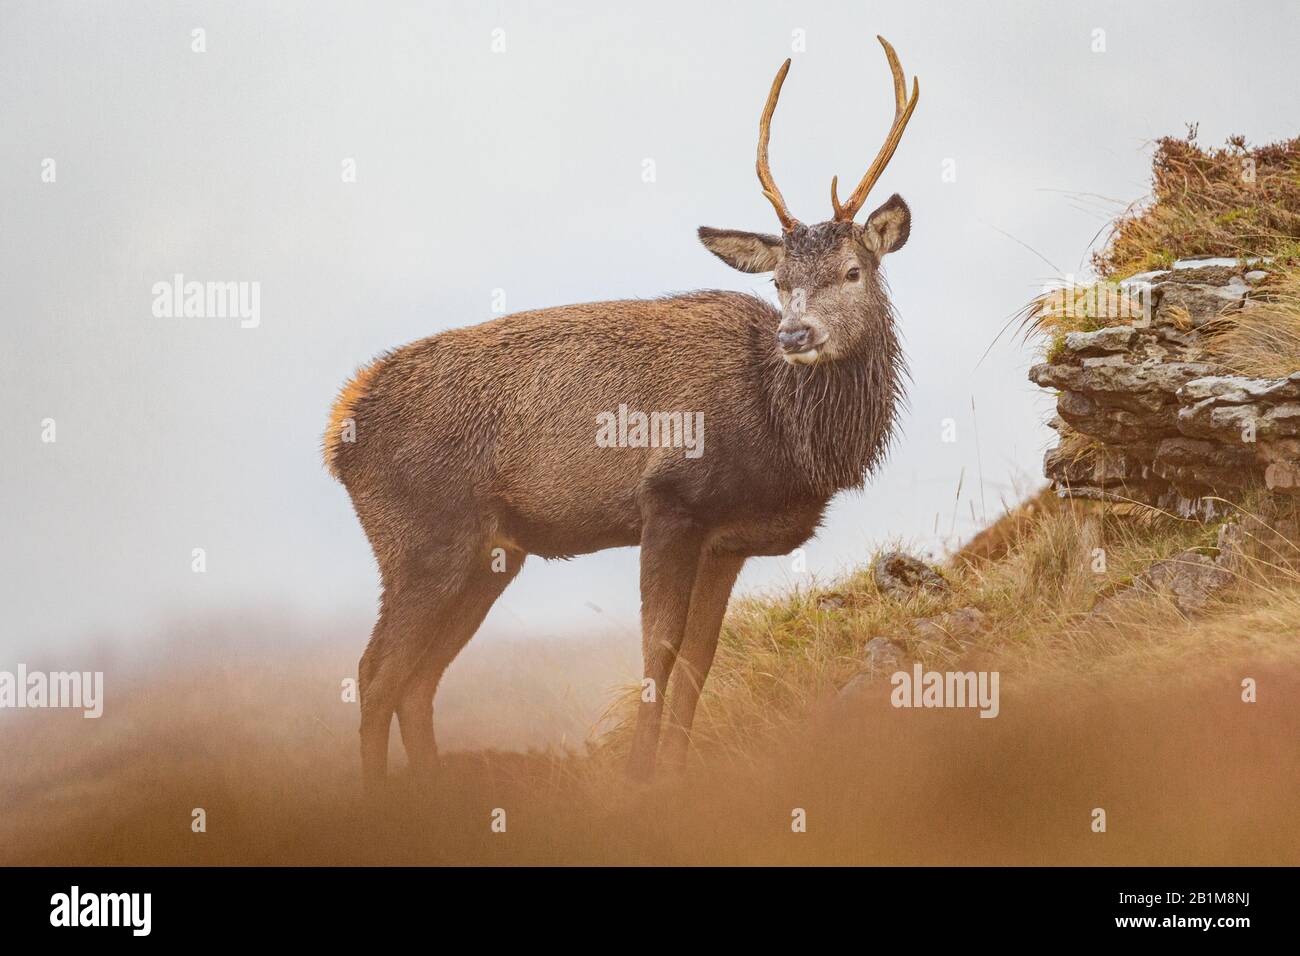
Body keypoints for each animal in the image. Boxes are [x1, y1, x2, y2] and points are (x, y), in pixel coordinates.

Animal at [325, 37, 919, 789]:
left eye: (852, 270)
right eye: (781, 282)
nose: (795, 336)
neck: (788, 439)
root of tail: (338, 429)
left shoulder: (727, 540)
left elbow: (698, 662)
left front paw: (677, 776)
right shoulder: (669, 501)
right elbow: (657, 652)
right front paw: (638, 780)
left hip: (489, 553)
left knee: (419, 680)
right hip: (420, 536)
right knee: (377, 674)